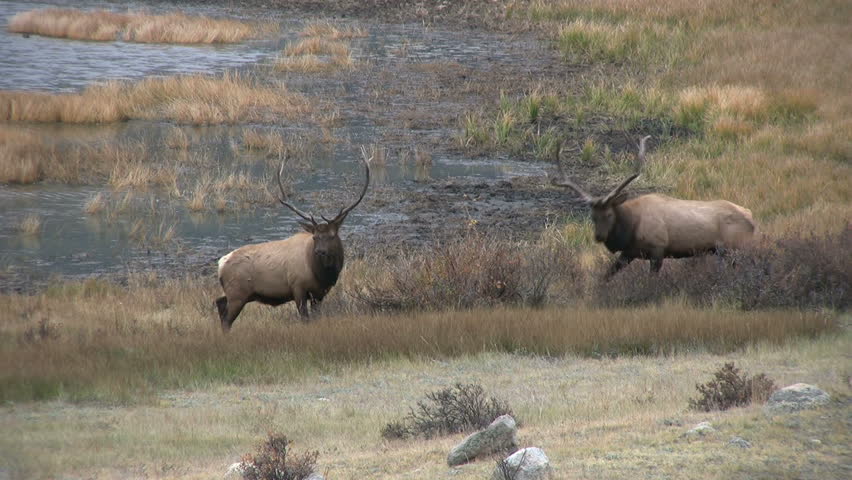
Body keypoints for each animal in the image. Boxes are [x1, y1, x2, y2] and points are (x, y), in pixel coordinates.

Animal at [215, 149, 371, 331]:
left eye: (332, 235)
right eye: (315, 237)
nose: (320, 251)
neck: (322, 274)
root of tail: (221, 263)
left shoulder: (319, 293)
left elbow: (315, 317)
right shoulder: (298, 286)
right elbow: (304, 318)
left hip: (236, 294)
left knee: (219, 303)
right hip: (237, 293)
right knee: (227, 319)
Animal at [551, 136, 756, 278]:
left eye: (609, 214)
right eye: (592, 215)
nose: (599, 236)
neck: (631, 228)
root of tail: (752, 218)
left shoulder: (658, 249)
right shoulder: (629, 253)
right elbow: (606, 275)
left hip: (732, 247)